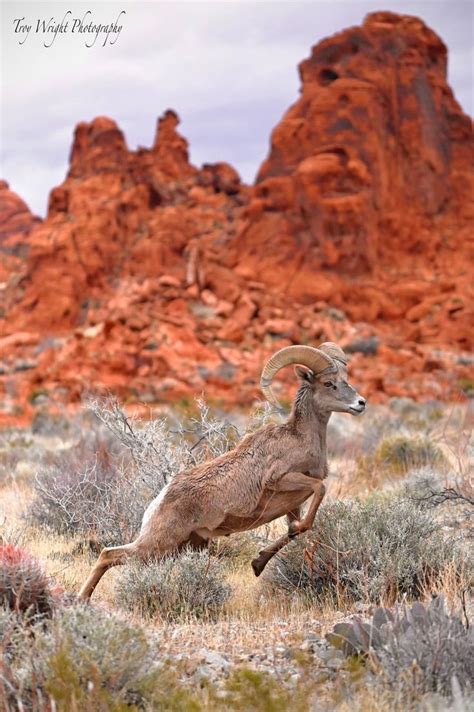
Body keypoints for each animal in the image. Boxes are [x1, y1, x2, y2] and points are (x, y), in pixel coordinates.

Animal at [79, 342, 366, 599]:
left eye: (345, 379)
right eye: (329, 384)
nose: (361, 403)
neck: (300, 439)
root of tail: (161, 498)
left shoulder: (292, 505)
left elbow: (295, 531)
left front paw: (258, 564)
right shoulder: (283, 480)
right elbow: (318, 492)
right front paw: (263, 560)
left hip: (180, 547)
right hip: (157, 545)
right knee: (109, 554)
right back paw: (82, 599)